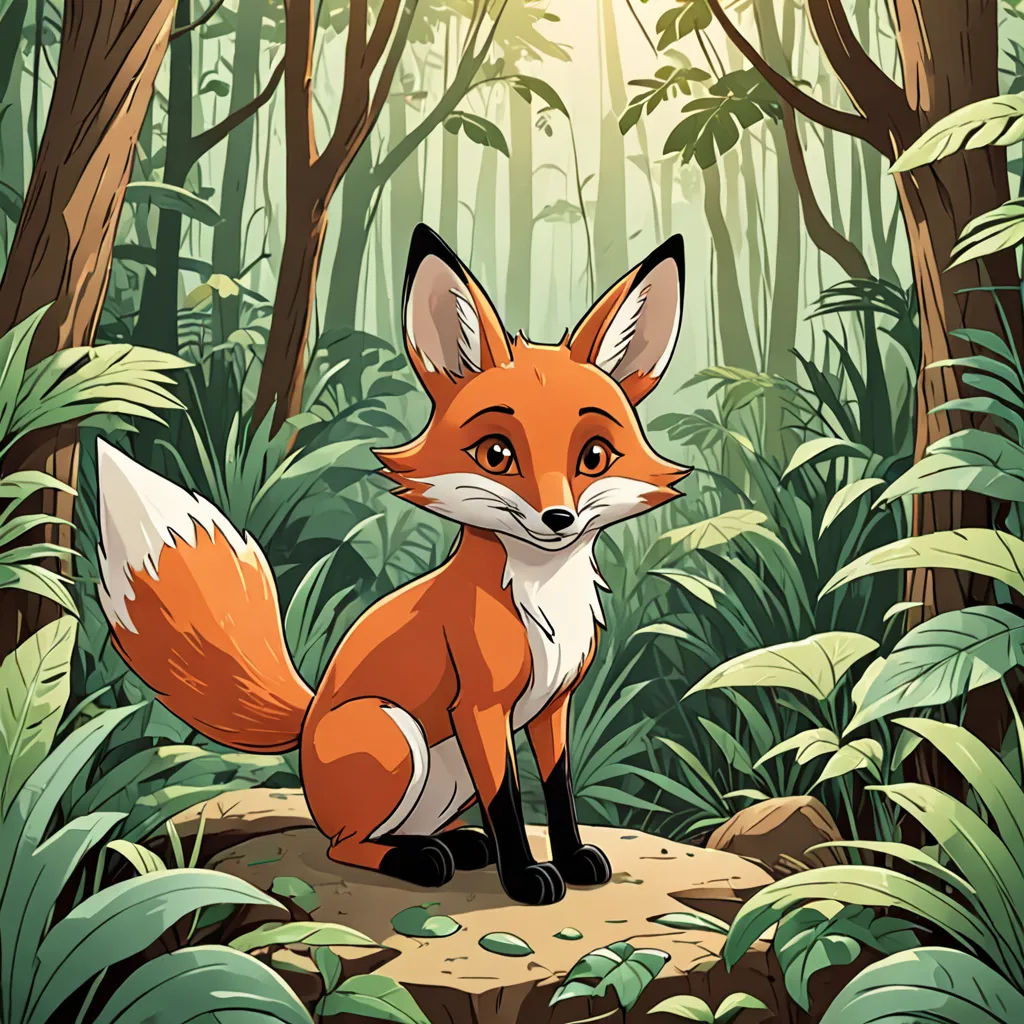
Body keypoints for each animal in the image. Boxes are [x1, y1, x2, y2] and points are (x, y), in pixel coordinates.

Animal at [95, 224, 690, 905]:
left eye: (593, 456)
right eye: (497, 454)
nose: (558, 518)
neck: (542, 600)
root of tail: (307, 721)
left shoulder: (554, 705)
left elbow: (558, 793)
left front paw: (570, 859)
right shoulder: (479, 709)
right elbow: (508, 801)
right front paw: (525, 878)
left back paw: (458, 845)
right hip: (394, 735)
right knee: (345, 845)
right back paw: (422, 859)